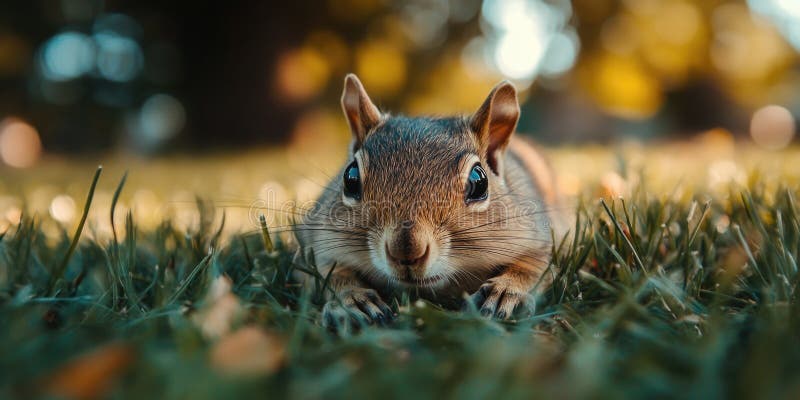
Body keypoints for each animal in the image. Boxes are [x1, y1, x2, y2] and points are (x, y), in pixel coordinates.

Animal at [296, 74, 565, 328]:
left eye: (479, 182)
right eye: (350, 178)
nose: (406, 251)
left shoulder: (538, 237)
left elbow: (534, 267)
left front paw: (506, 292)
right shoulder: (317, 241)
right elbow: (323, 271)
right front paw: (352, 299)